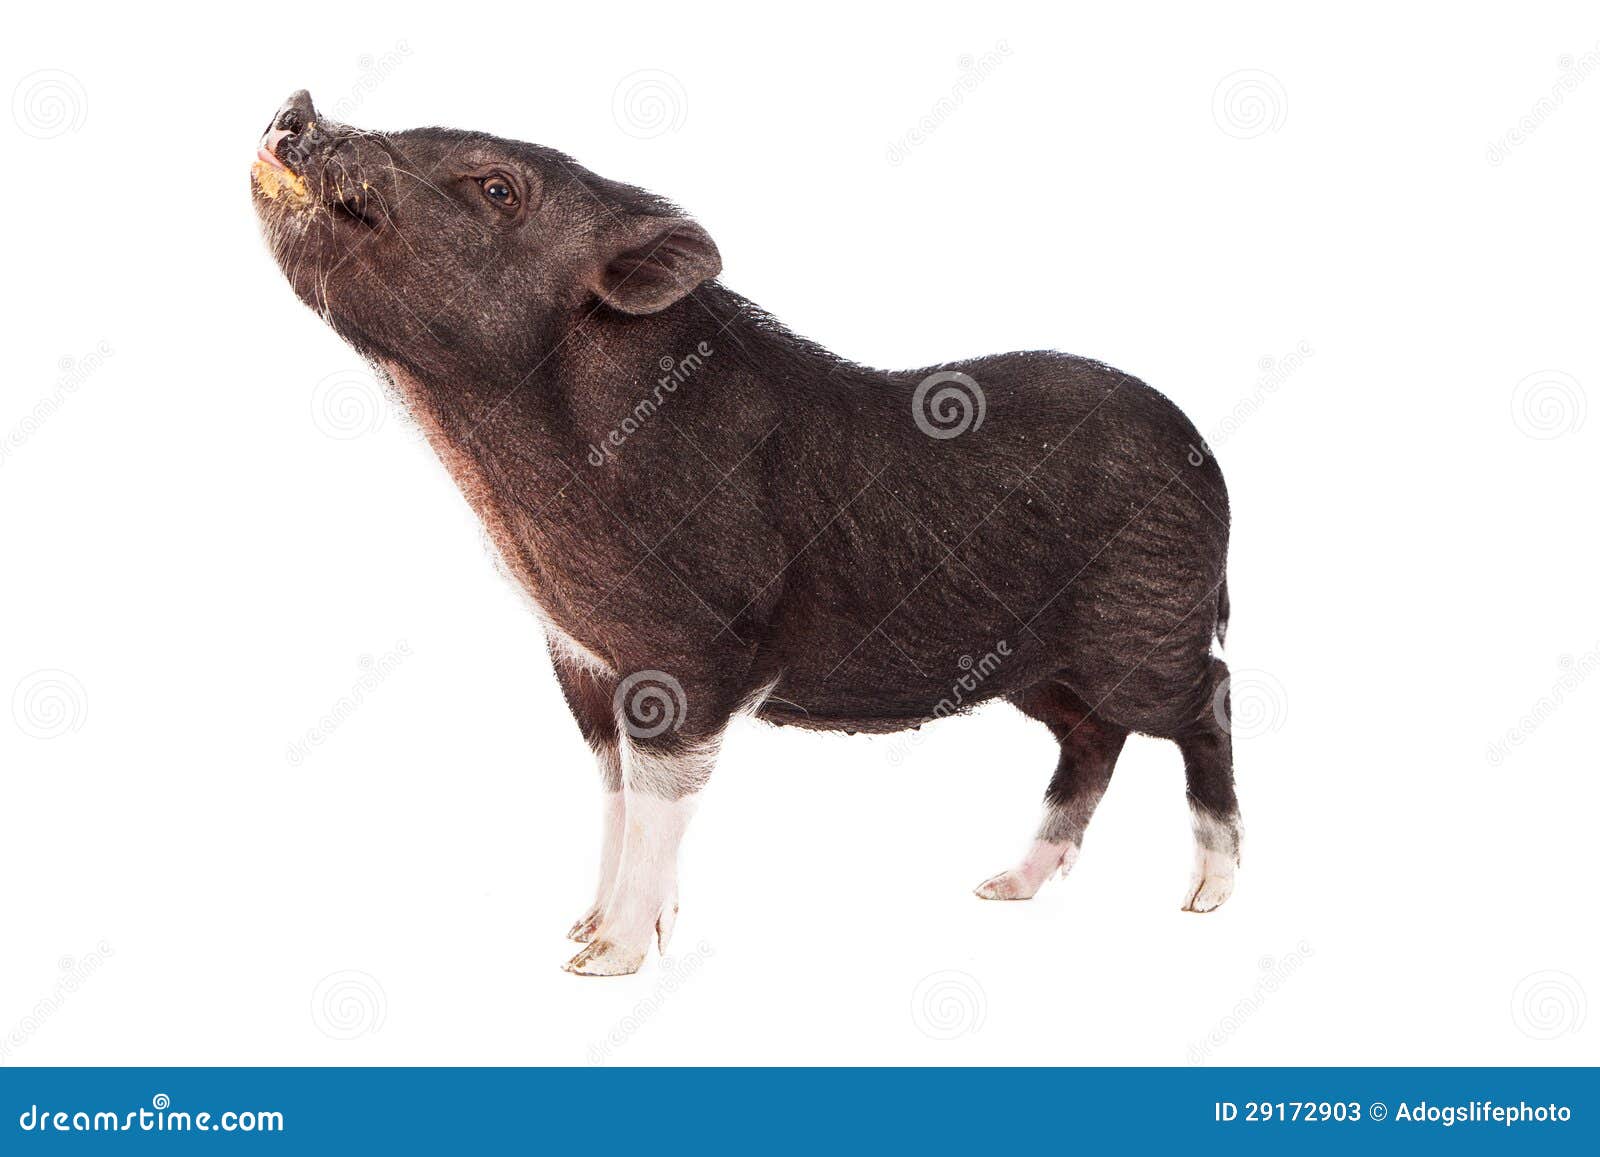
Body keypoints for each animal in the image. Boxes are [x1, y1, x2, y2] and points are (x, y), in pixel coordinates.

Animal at [251, 90, 1240, 976]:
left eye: (496, 187)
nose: (296, 107)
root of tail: (1205, 459)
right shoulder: (581, 660)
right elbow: (615, 796)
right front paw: (580, 930)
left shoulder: (691, 654)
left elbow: (658, 806)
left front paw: (602, 962)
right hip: (1041, 667)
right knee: (1092, 740)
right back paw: (1001, 888)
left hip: (1146, 630)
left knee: (1210, 699)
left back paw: (1203, 899)